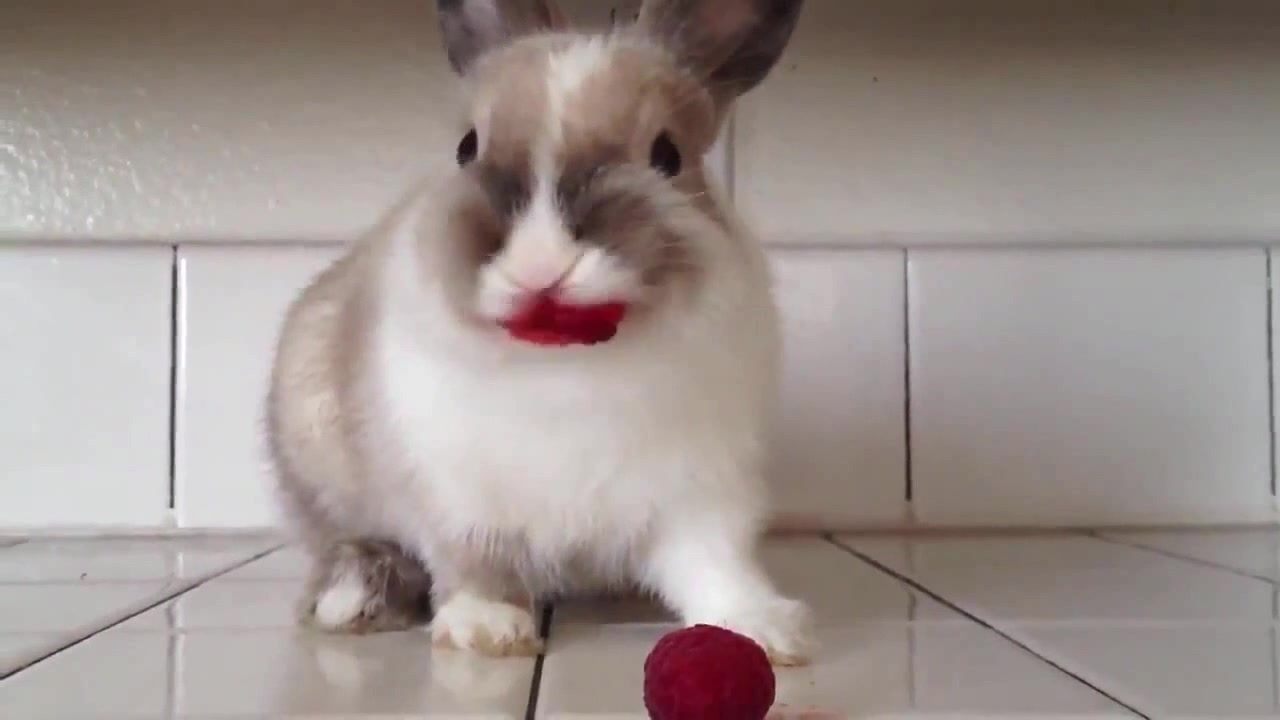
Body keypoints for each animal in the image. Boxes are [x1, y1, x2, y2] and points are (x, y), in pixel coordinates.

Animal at [265, 0, 812, 666]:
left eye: (668, 156)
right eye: (466, 147)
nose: (542, 263)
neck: (566, 361)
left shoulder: (701, 493)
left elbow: (717, 563)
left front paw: (765, 627)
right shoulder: (455, 497)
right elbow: (474, 563)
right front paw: (487, 628)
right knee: (347, 543)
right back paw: (352, 597)